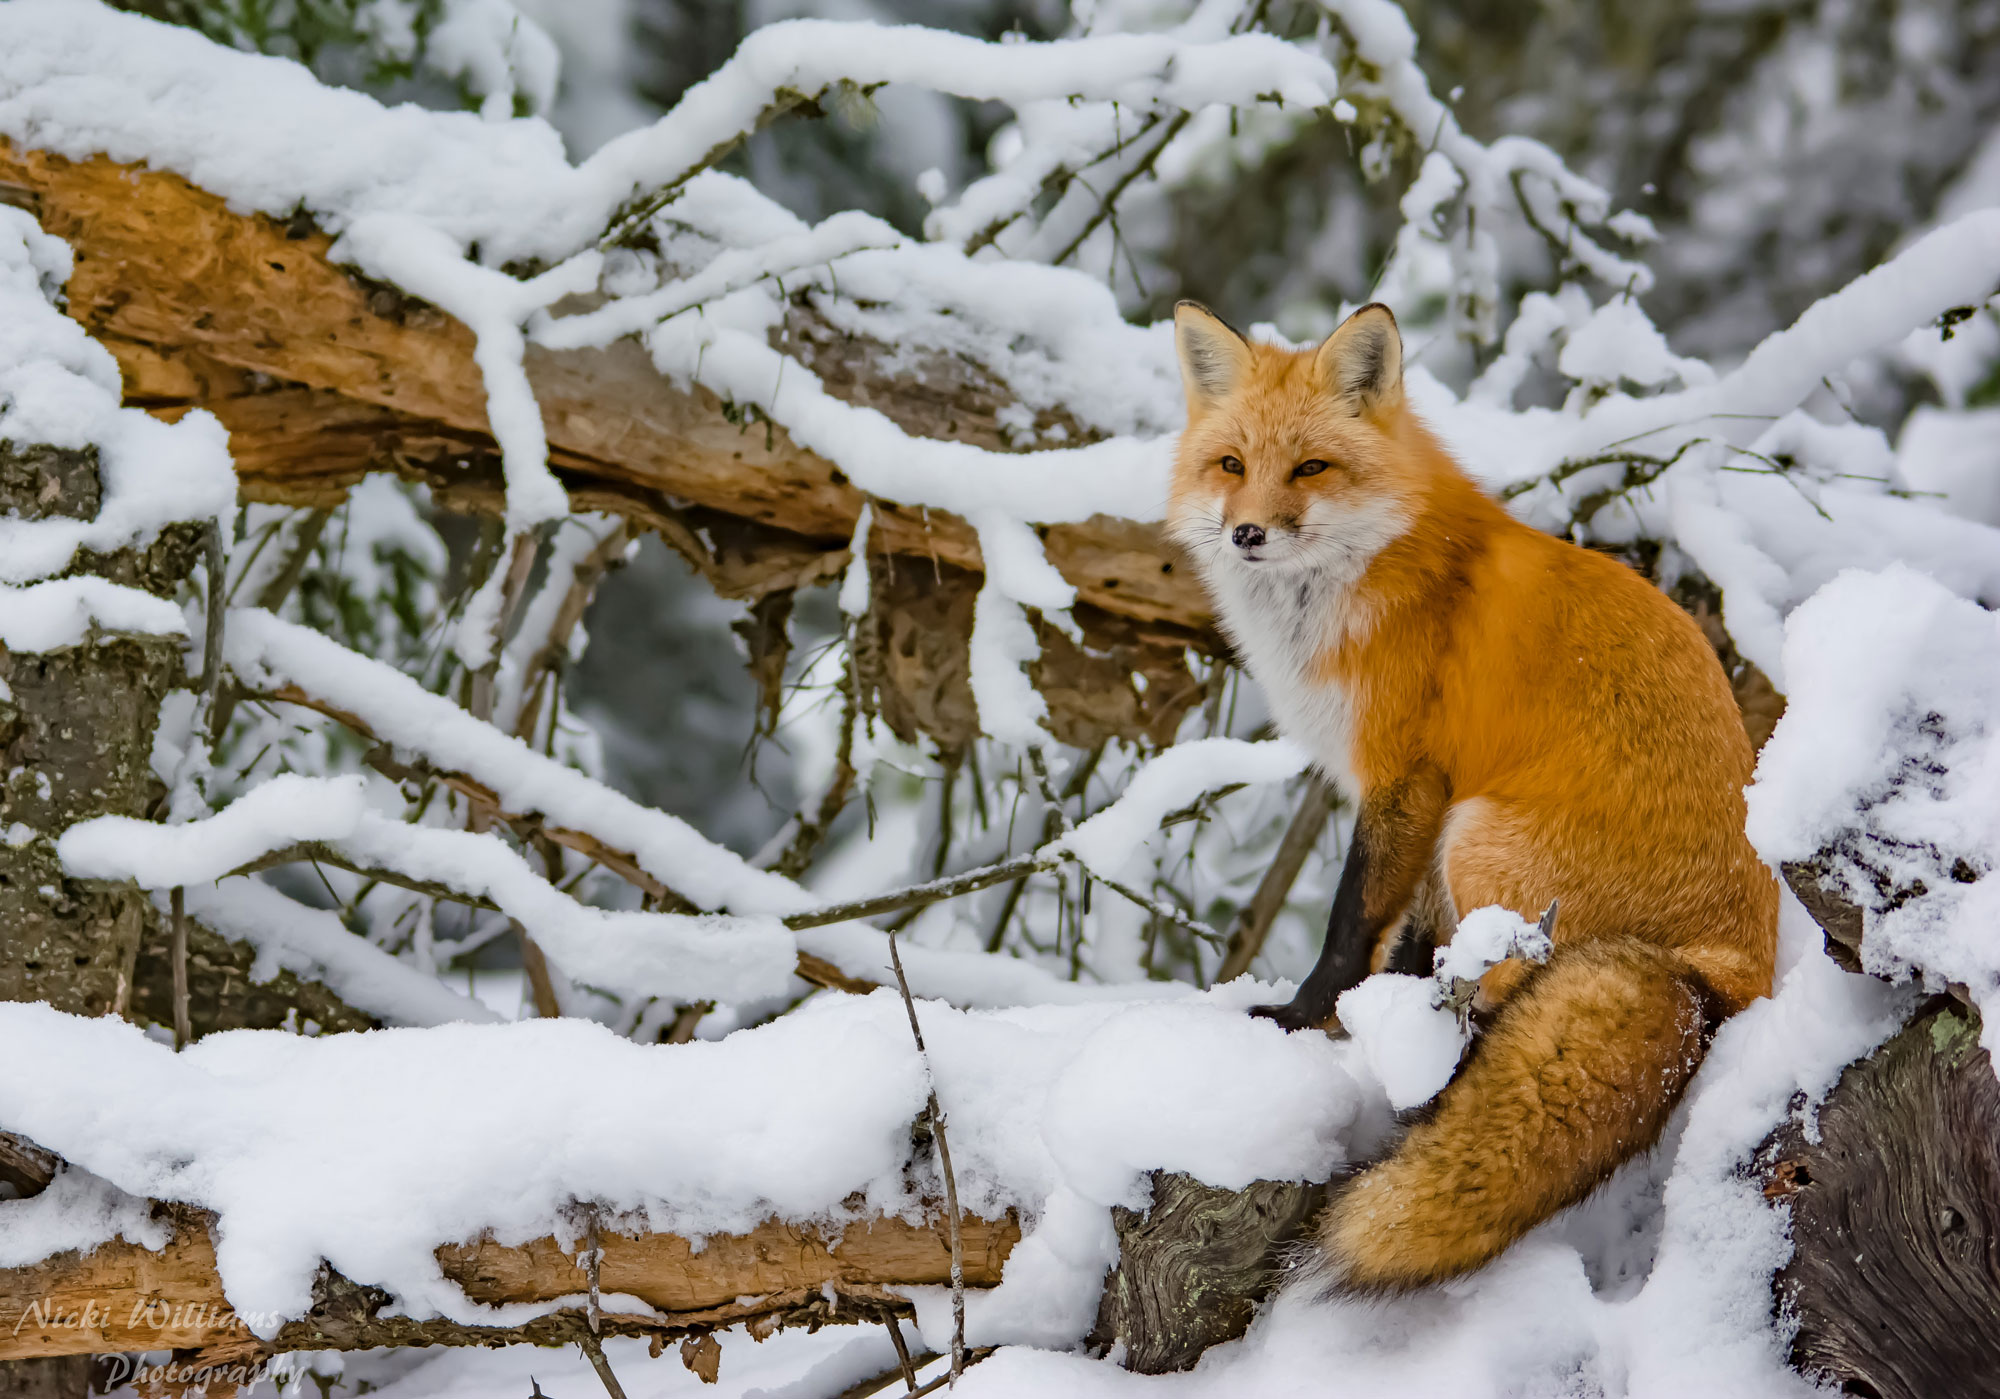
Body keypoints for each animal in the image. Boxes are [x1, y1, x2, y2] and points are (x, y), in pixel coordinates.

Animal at [1166, 300, 1779, 1291]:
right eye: (1231, 466)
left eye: (1310, 468)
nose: (1246, 534)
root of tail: (1727, 970)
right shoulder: (1412, 804)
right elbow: (1414, 936)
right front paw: (1388, 1020)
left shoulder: (1407, 778)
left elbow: (1351, 922)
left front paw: (1301, 1018)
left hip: (1480, 834)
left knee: (1509, 988)